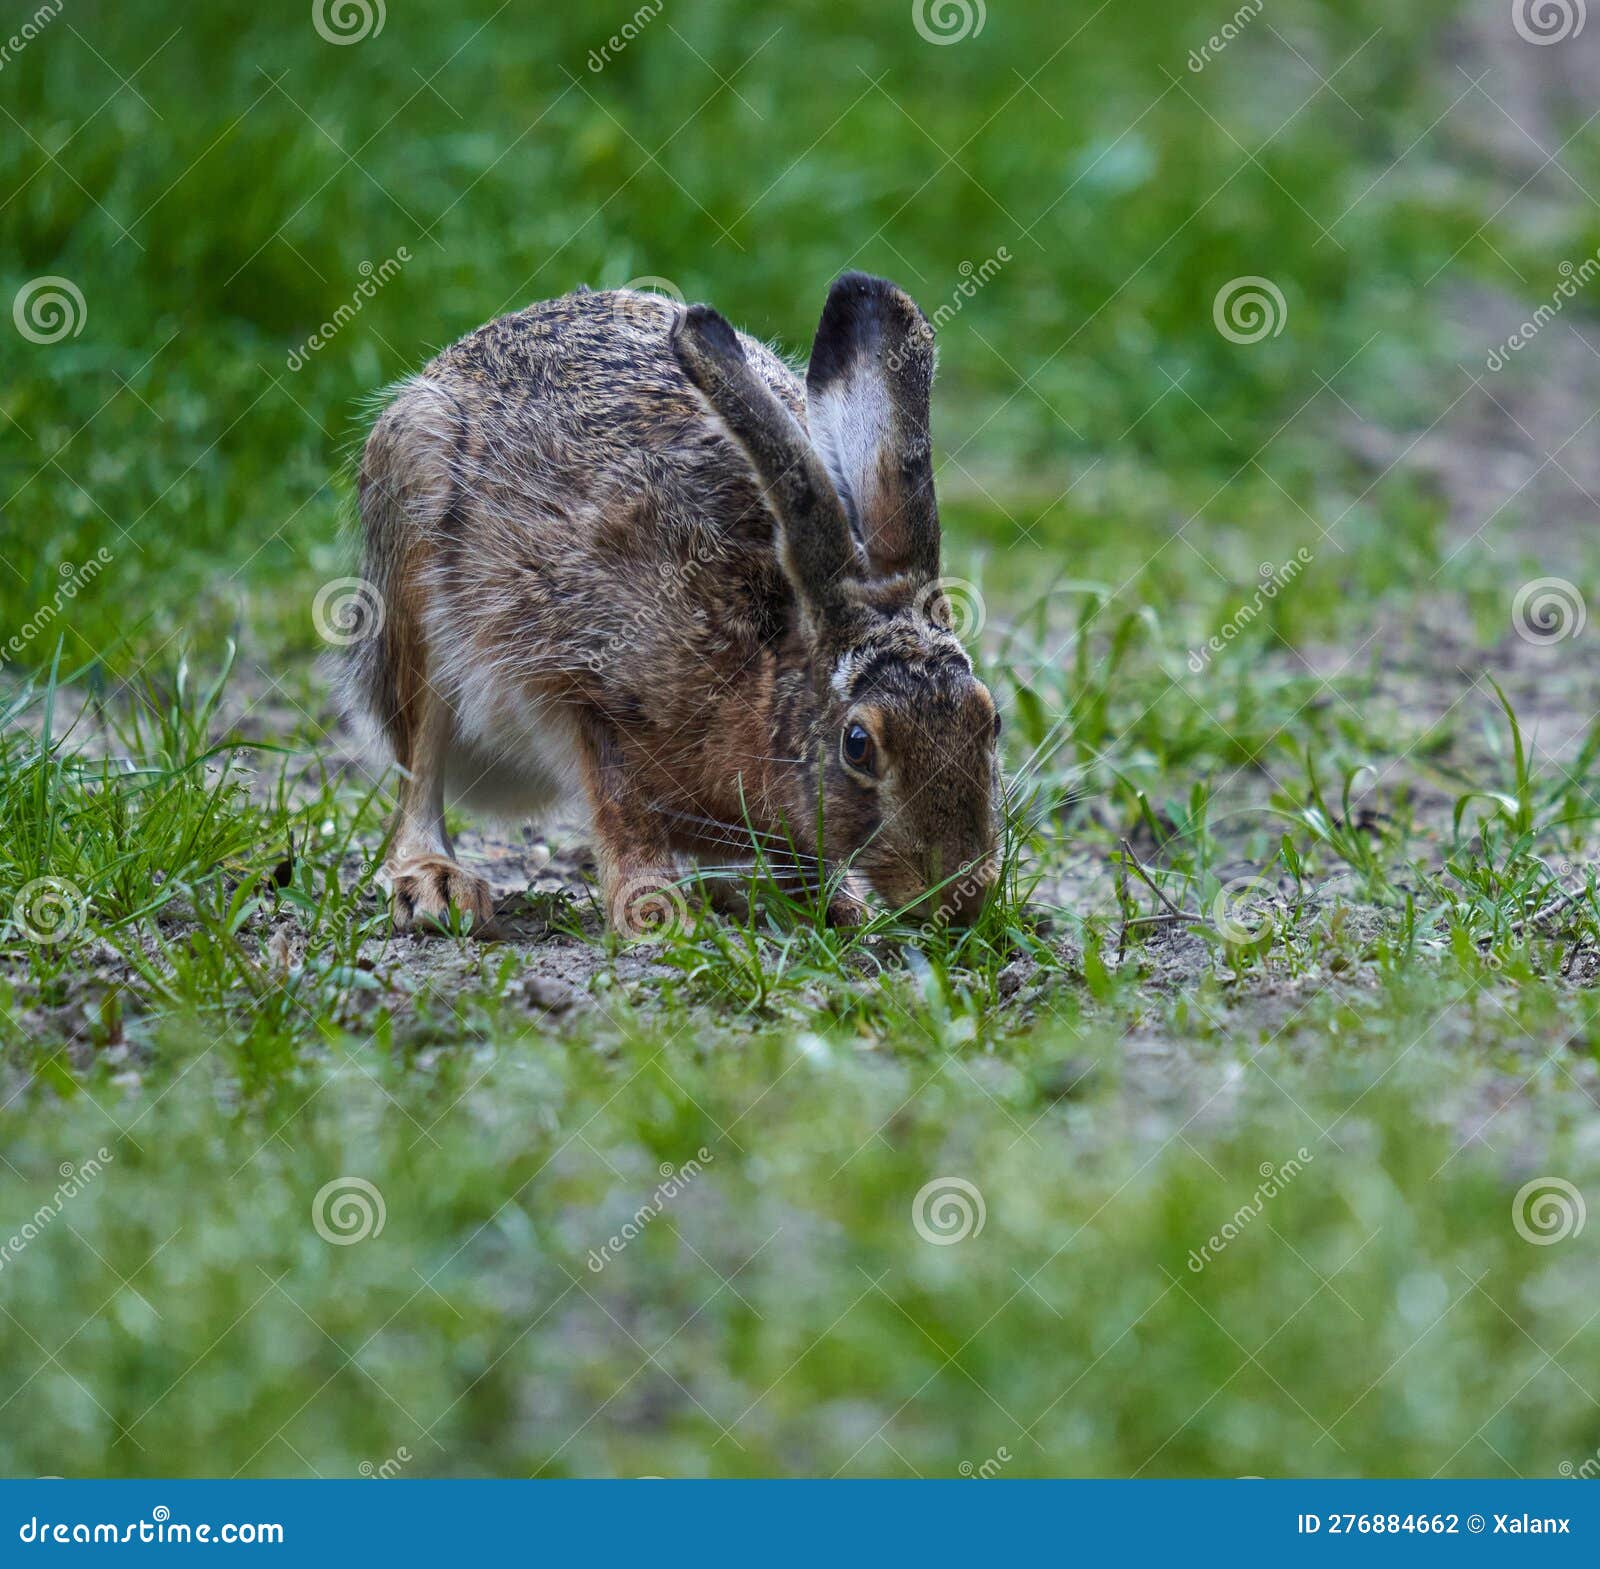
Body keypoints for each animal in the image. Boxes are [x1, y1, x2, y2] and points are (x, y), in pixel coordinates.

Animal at [340, 272, 1002, 936]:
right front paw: (655, 912)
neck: (766, 670)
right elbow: (622, 810)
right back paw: (438, 884)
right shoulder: (586, 685)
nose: (963, 898)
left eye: (990, 720)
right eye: (858, 745)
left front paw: (837, 908)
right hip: (414, 545)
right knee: (418, 764)